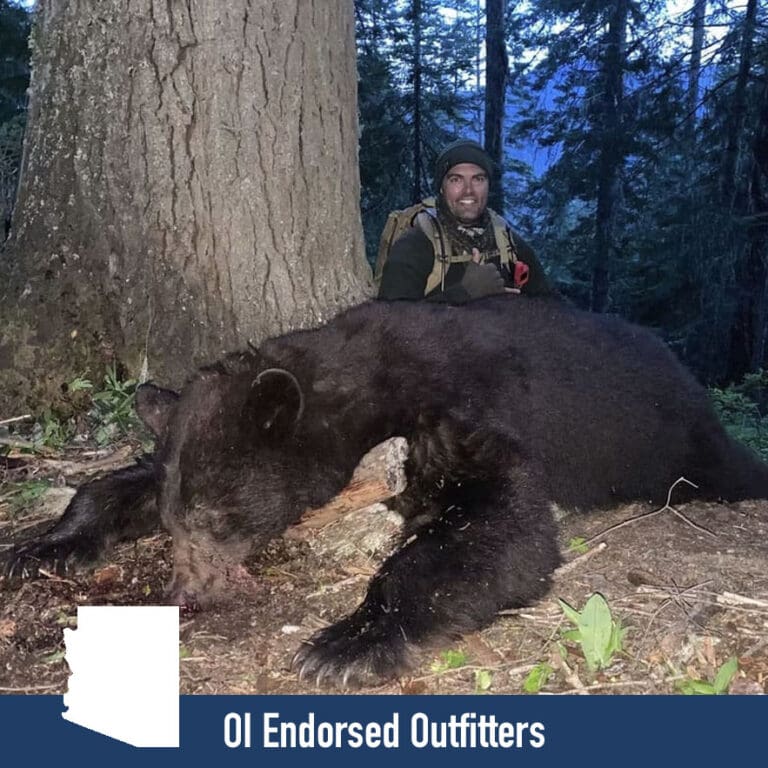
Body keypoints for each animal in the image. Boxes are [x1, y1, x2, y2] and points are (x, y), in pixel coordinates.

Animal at [3, 296, 768, 687]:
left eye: (218, 515)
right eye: (173, 519)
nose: (187, 593)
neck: (354, 396)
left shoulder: (452, 413)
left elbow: (501, 523)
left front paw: (345, 644)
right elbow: (117, 482)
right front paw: (44, 546)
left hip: (675, 442)